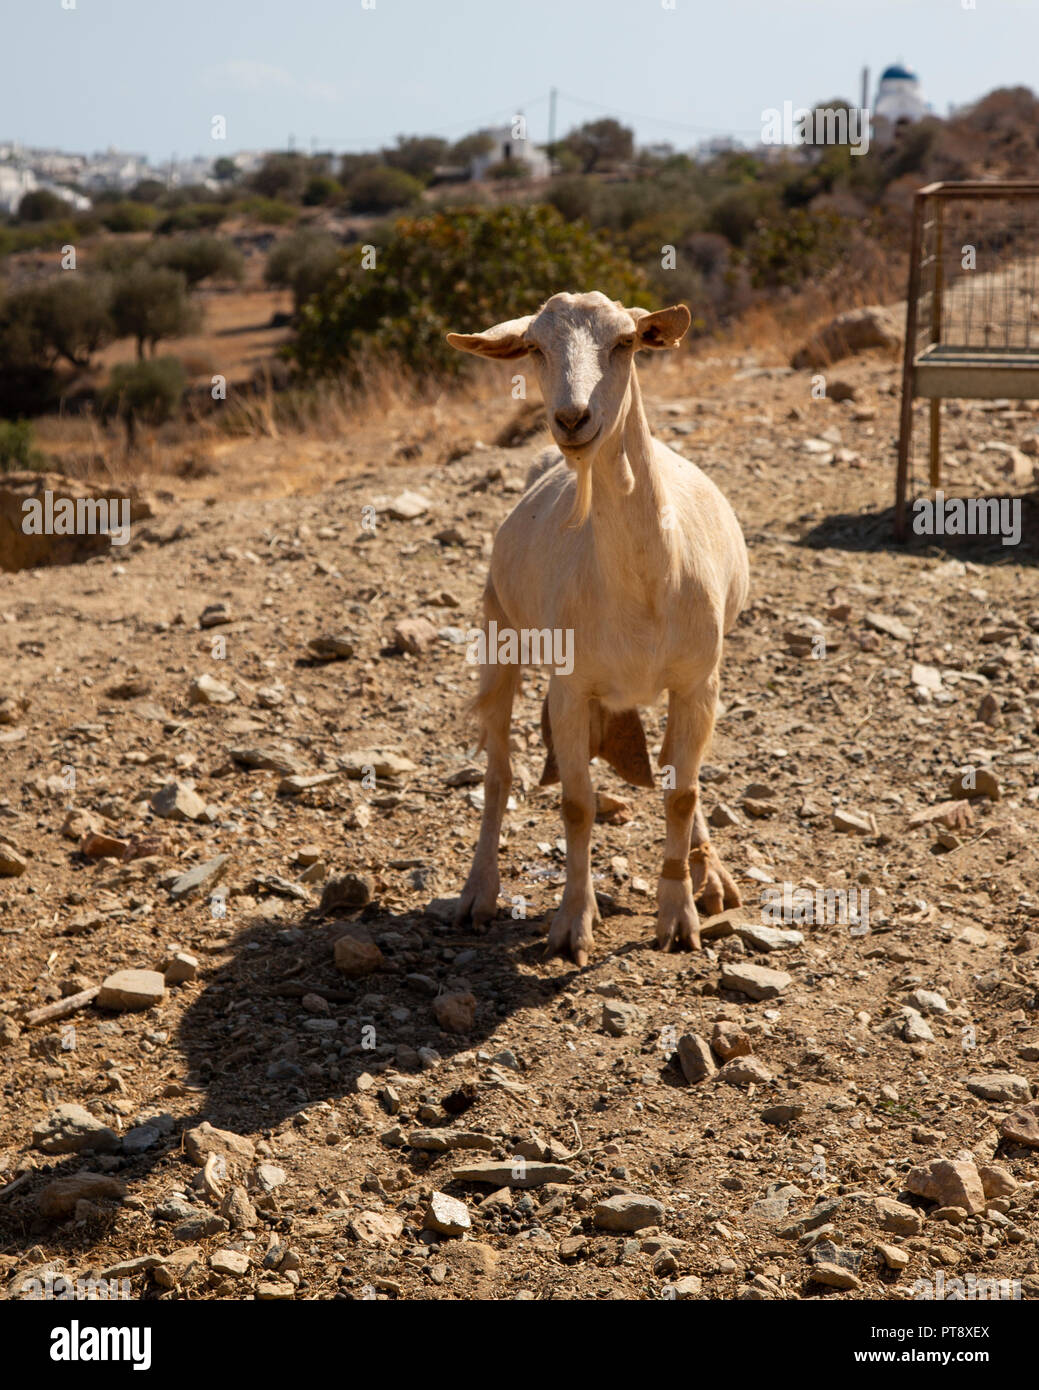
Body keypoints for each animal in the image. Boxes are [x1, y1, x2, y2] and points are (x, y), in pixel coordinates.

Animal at [447, 291, 749, 964]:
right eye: (535, 347)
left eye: (625, 343)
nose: (571, 418)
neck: (644, 582)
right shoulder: (570, 686)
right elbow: (578, 804)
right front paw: (571, 925)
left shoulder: (699, 679)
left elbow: (682, 792)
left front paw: (679, 915)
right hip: (499, 633)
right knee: (499, 770)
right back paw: (479, 893)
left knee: (678, 766)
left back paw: (710, 872)